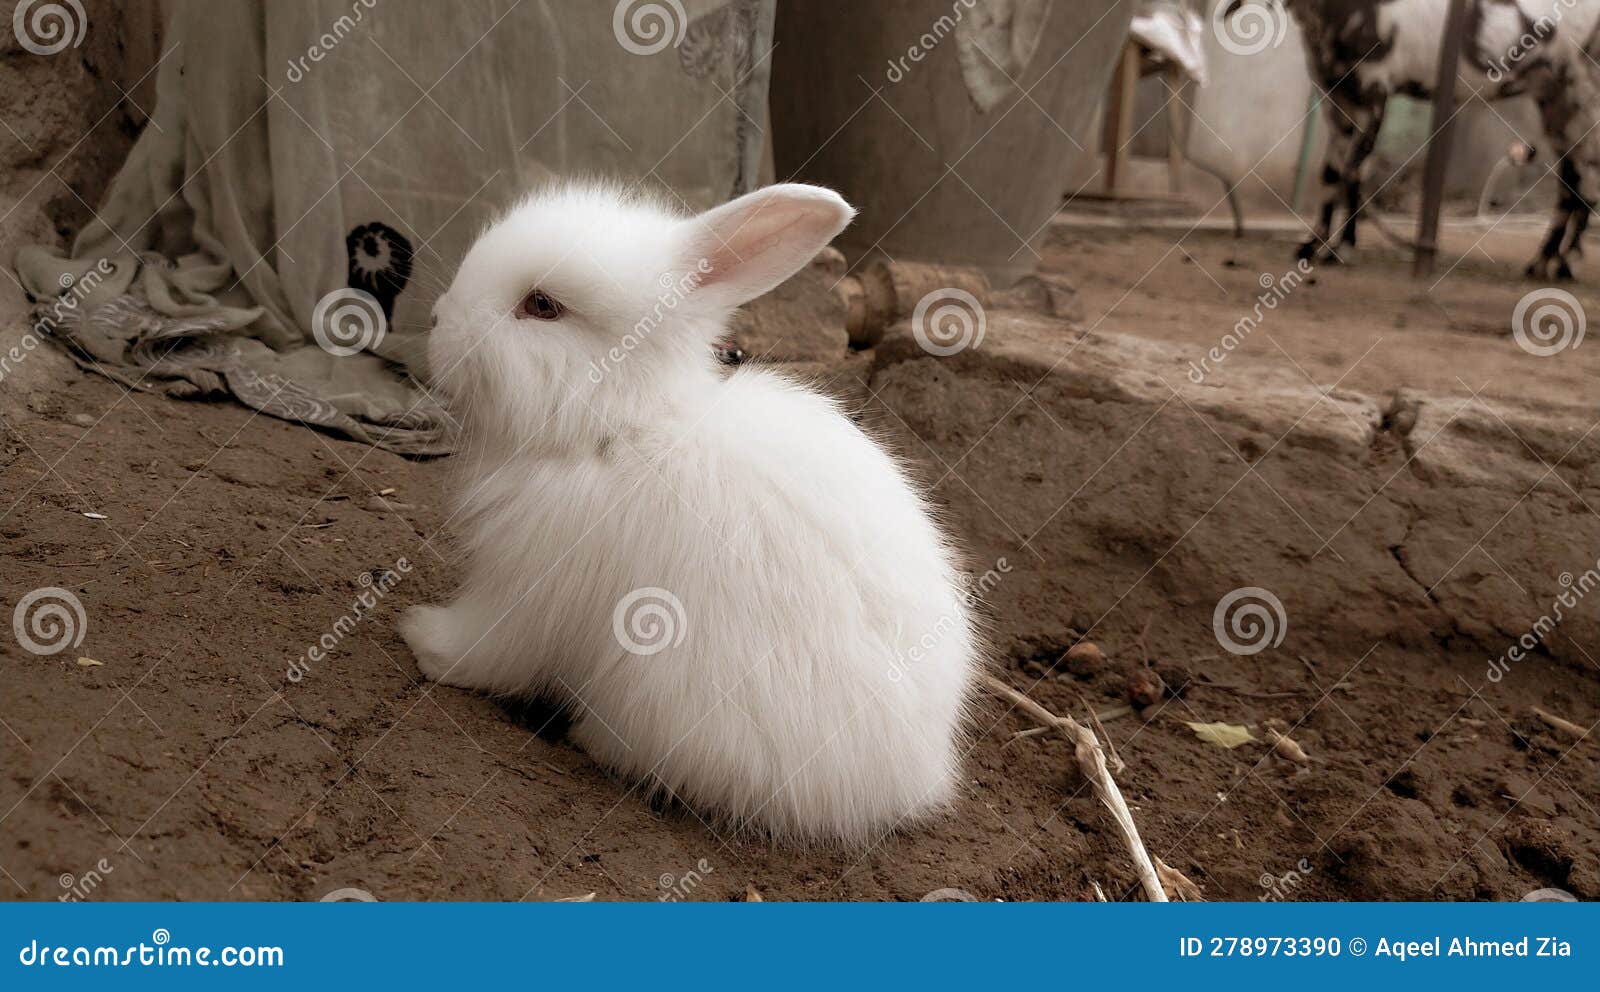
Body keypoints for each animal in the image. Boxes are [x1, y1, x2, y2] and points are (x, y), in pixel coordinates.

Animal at [401, 179, 981, 844]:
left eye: (542, 305)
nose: (438, 321)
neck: (618, 428)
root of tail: (912, 781)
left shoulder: (526, 592)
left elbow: (488, 648)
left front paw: (420, 636)